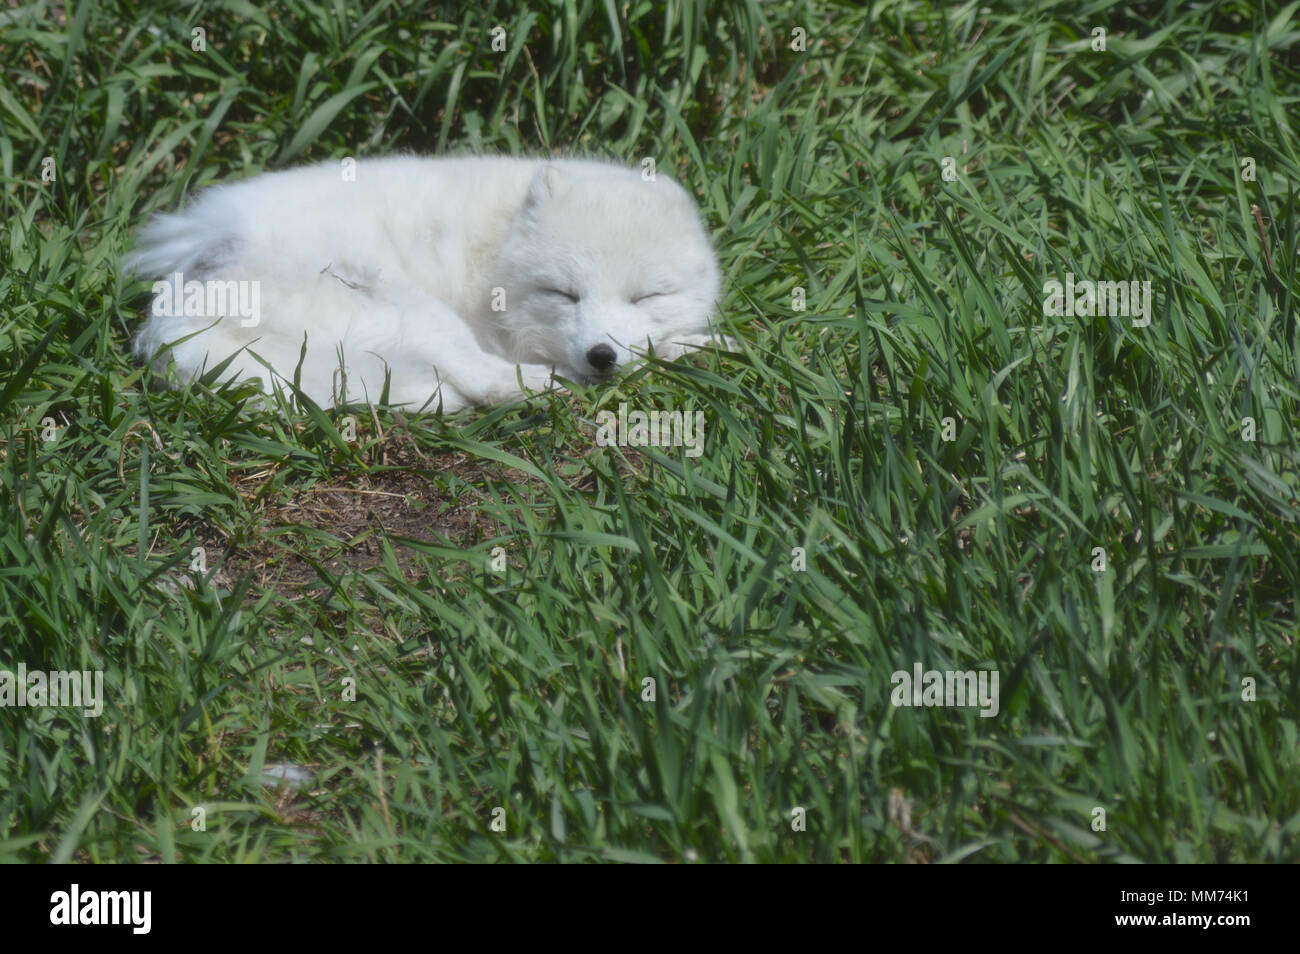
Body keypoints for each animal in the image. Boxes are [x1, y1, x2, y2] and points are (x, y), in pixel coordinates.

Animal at [125, 155, 731, 411]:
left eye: (645, 296)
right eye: (565, 294)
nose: (601, 355)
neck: (498, 244)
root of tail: (170, 319)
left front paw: (693, 344)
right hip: (408, 307)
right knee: (482, 380)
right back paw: (542, 386)